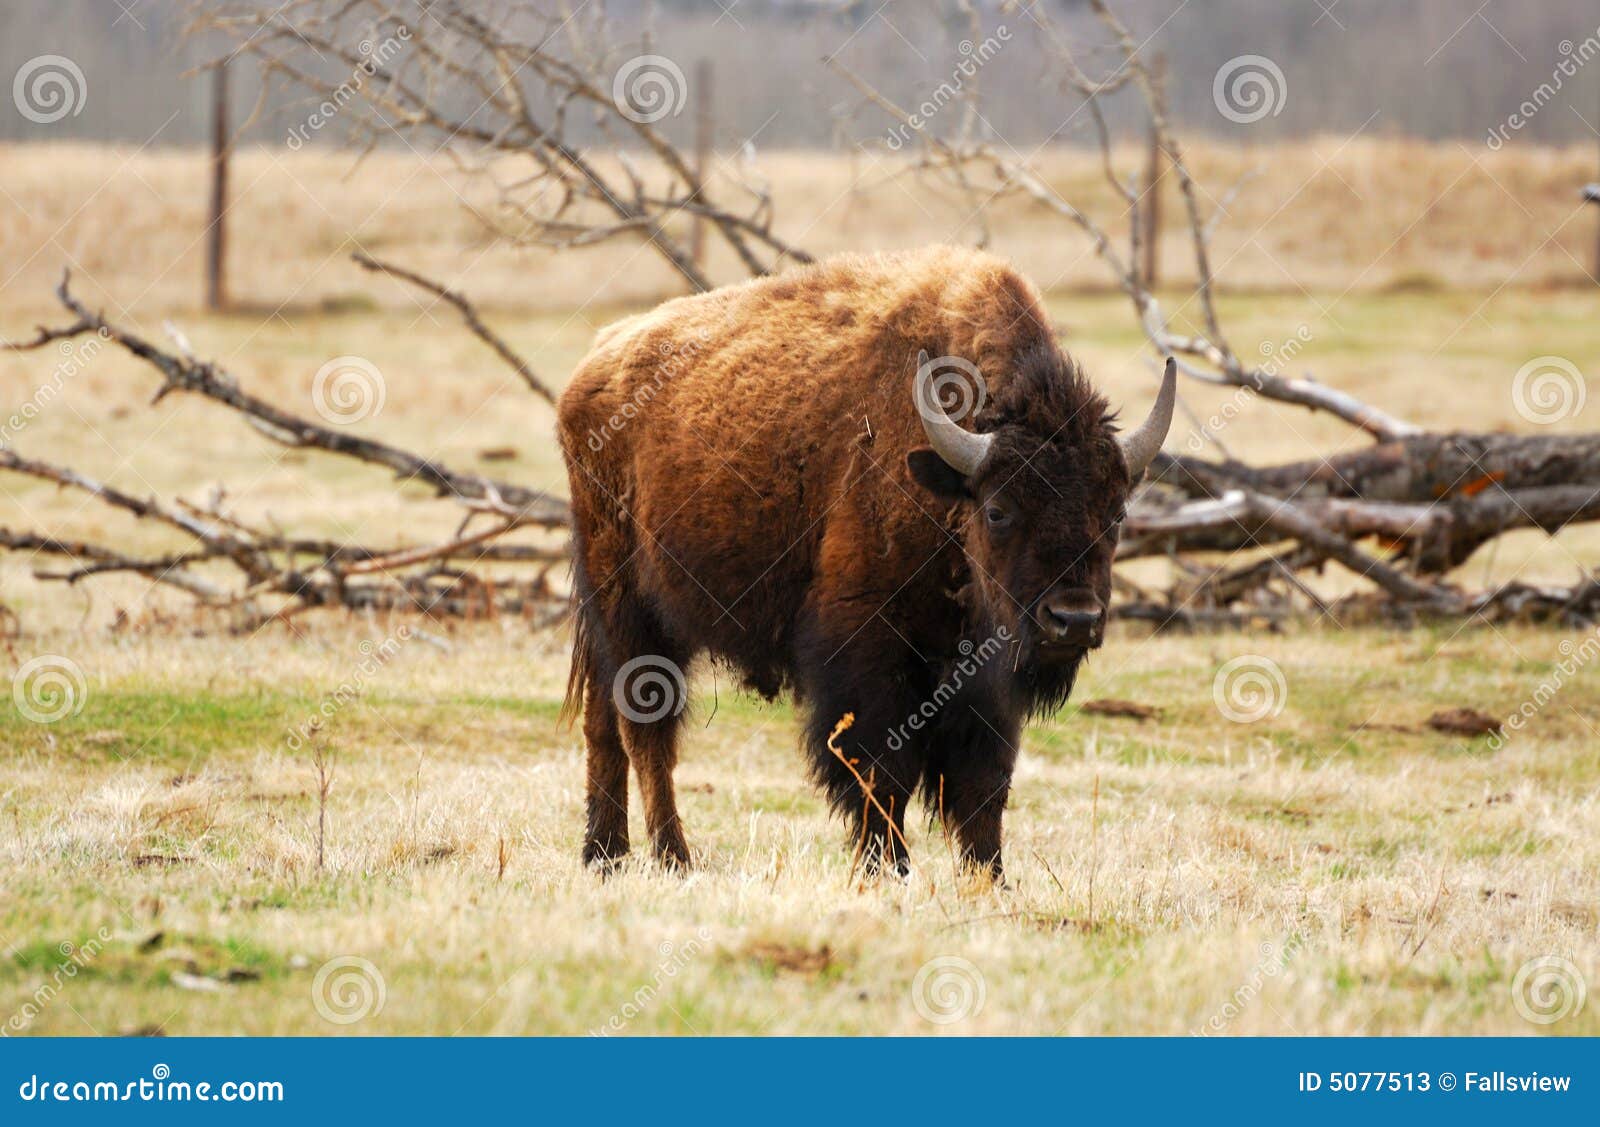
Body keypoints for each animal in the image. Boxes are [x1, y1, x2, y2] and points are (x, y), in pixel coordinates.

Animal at [557, 245, 1174, 877]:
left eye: (1116, 513)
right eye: (999, 510)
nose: (1074, 620)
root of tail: (592, 367)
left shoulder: (984, 675)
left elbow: (983, 783)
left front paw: (990, 878)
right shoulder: (869, 651)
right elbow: (883, 767)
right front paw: (887, 868)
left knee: (603, 726)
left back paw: (604, 855)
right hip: (630, 609)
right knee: (645, 732)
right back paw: (673, 857)